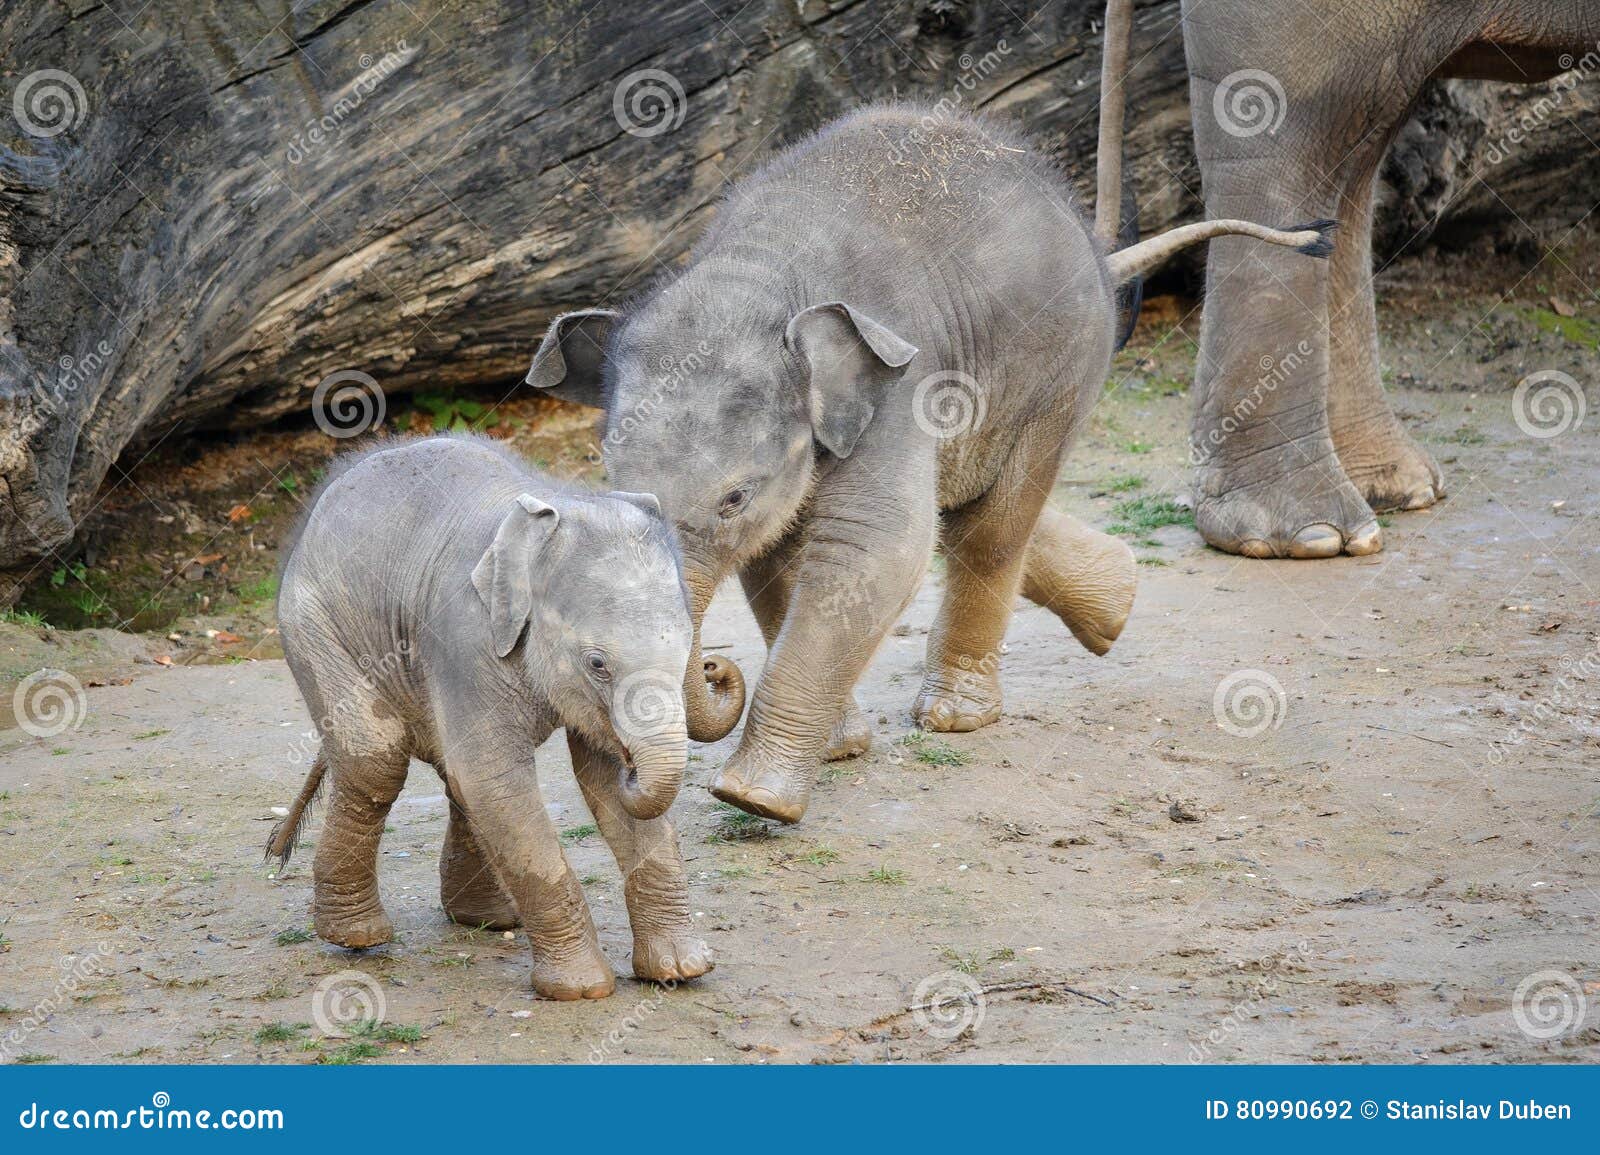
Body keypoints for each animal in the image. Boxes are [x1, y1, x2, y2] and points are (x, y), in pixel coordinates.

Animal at [267, 435, 712, 1000]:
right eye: (597, 664)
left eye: (687, 654)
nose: (634, 764)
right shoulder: (465, 638)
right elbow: (496, 779)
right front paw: (581, 990)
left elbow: (594, 780)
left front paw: (680, 971)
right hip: (313, 625)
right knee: (378, 760)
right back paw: (357, 936)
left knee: (452, 777)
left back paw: (487, 920)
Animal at [526, 83, 1335, 823]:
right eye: (611, 478)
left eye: (733, 498)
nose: (718, 668)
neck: (761, 273)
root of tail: (1093, 246)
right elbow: (780, 554)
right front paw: (837, 750)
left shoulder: (900, 380)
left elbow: (871, 546)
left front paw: (754, 798)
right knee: (967, 510)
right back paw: (1115, 598)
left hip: (1062, 372)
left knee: (991, 524)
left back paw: (958, 715)